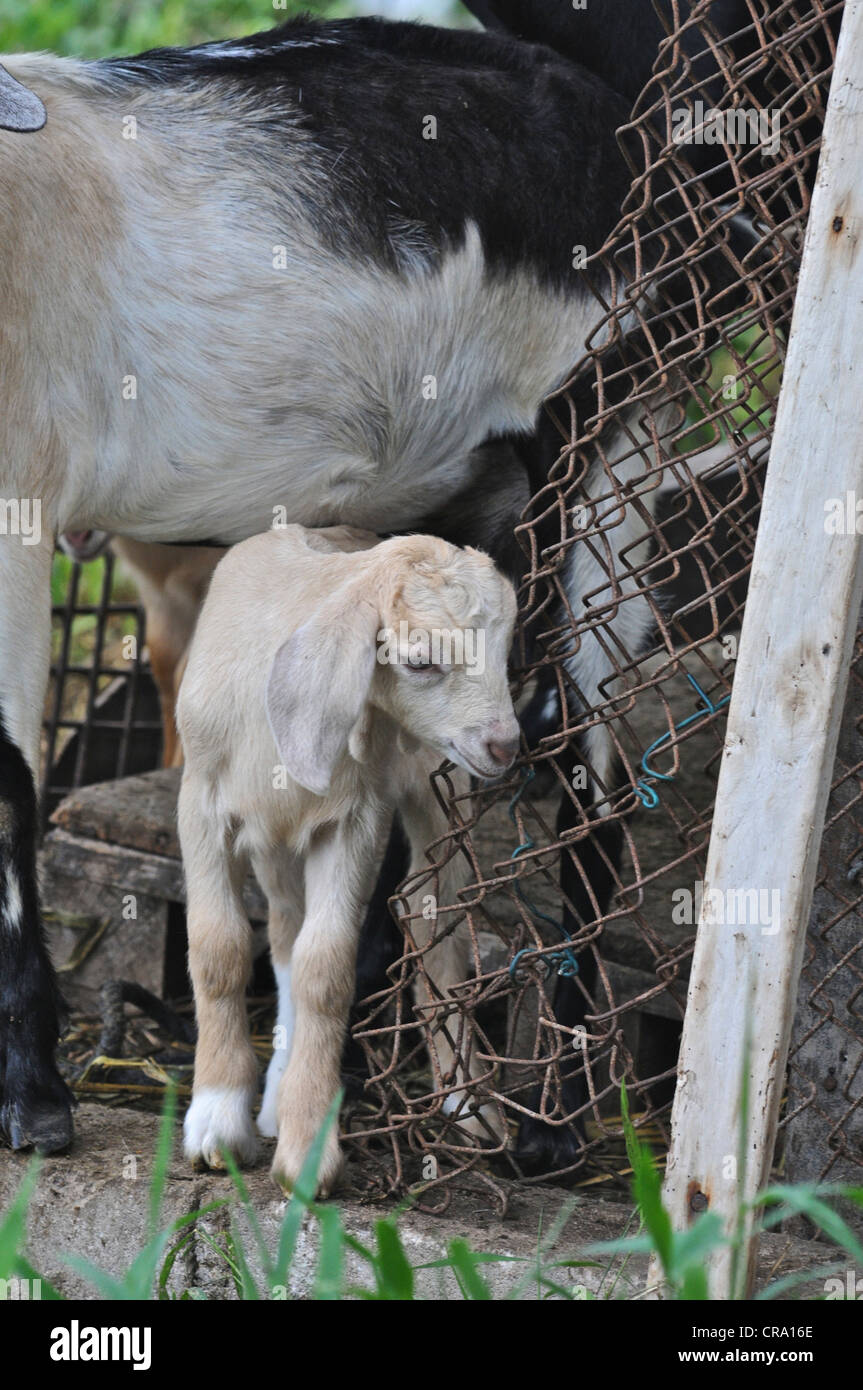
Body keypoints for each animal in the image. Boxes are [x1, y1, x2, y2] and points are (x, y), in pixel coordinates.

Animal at [176, 523, 518, 1192]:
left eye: (505, 649)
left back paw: (467, 1105)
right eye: (420, 661)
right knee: (284, 932)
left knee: (432, 925)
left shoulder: (355, 820)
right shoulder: (201, 801)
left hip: (439, 793)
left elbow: (326, 968)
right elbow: (219, 948)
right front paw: (217, 1122)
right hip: (275, 844)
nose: (504, 745)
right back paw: (273, 1097)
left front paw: (308, 1150)